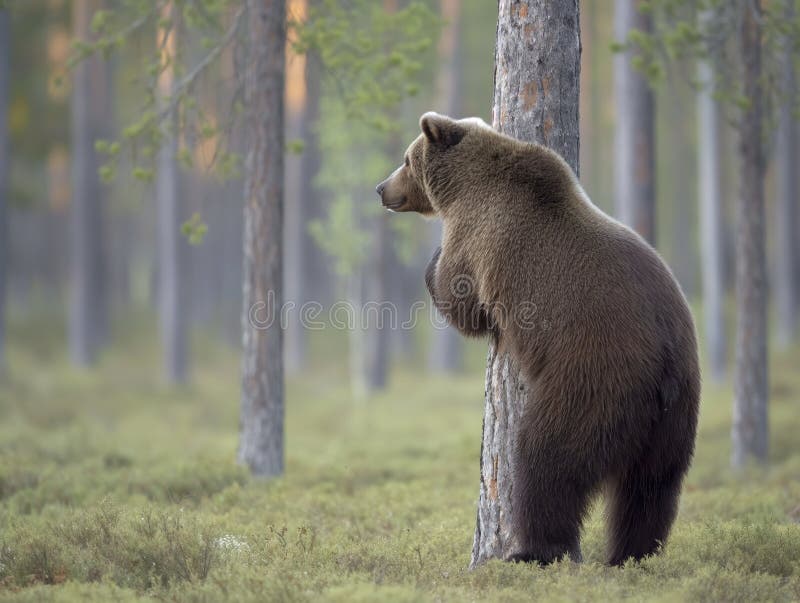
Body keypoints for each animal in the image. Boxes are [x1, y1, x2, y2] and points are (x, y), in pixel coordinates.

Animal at [375, 112, 700, 567]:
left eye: (406, 159)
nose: (381, 188)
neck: (464, 188)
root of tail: (665, 365)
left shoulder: (478, 239)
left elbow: (464, 303)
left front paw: (433, 264)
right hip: (676, 415)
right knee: (651, 487)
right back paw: (631, 555)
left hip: (593, 380)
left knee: (548, 460)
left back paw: (534, 549)